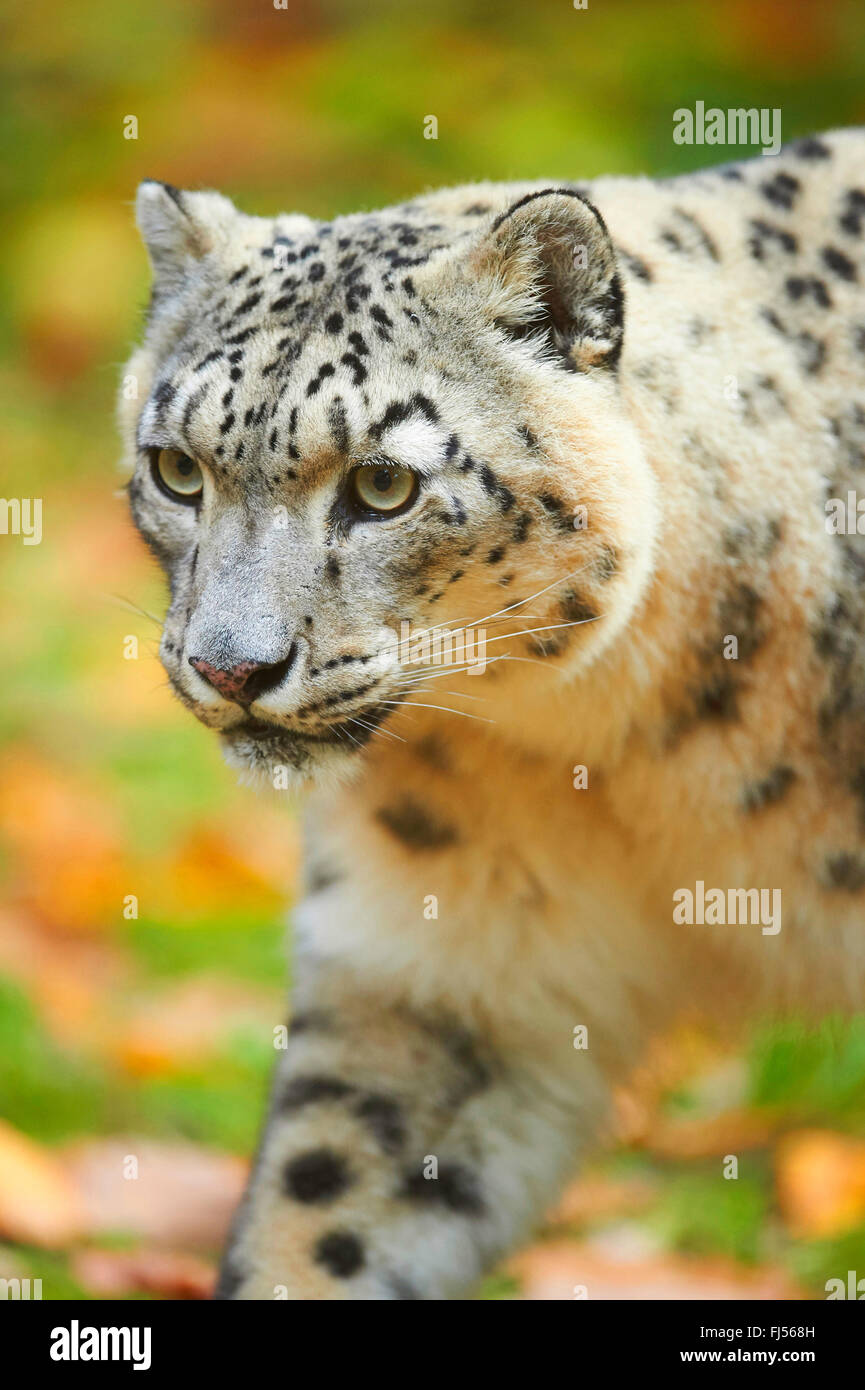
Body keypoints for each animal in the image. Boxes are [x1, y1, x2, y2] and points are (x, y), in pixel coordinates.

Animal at [119, 128, 865, 1299]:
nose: (231, 666)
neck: (619, 743)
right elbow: (323, 1212)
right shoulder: (440, 982)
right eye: (177, 469)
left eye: (383, 486)